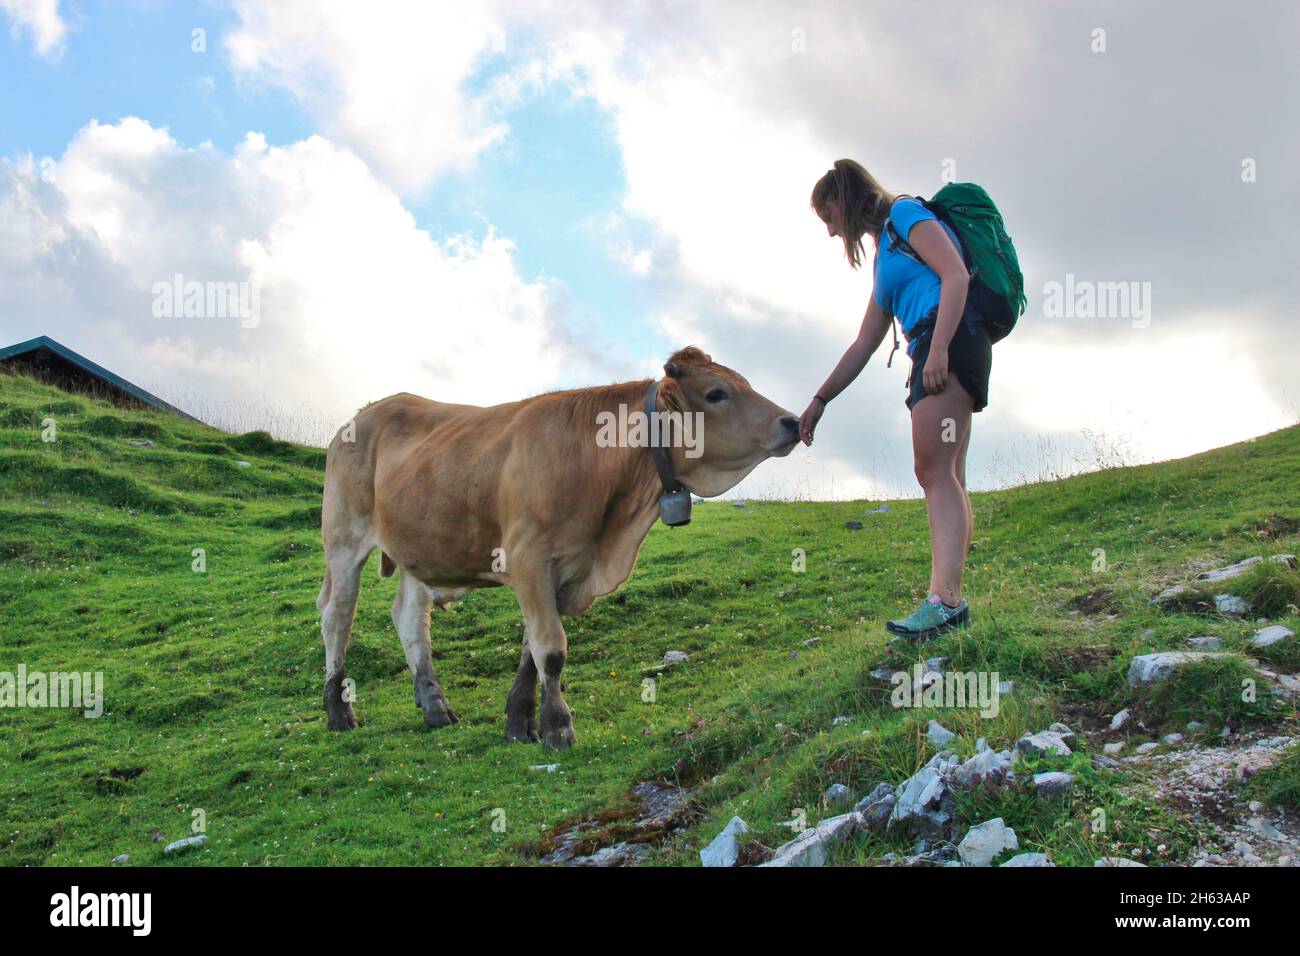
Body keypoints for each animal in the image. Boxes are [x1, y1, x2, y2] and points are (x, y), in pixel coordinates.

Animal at [316, 346, 799, 749]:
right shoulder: (529, 560)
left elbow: (532, 649)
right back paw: (338, 711)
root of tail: (367, 411)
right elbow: (551, 648)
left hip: (417, 548)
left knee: (411, 620)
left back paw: (434, 706)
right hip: (344, 538)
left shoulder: (566, 570)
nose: (792, 422)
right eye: (716, 393)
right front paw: (557, 727)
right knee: (337, 616)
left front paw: (519, 721)